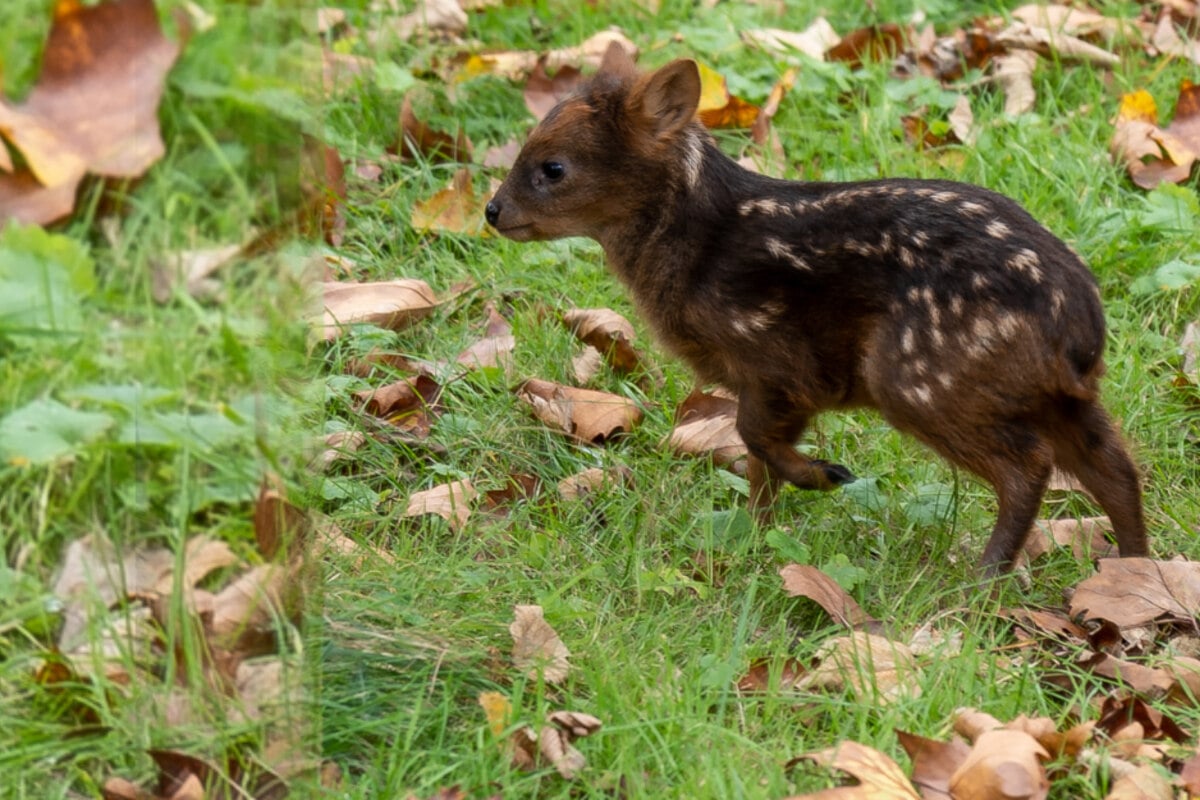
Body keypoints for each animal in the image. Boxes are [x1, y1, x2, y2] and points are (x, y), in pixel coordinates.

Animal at [484, 47, 1149, 575]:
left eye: (553, 167)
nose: (492, 211)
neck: (700, 248)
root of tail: (1080, 327)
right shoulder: (770, 378)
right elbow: (757, 461)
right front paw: (754, 539)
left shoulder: (777, 356)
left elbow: (755, 438)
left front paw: (827, 477)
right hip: (1048, 391)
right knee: (1113, 464)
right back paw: (1136, 572)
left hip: (921, 374)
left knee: (1030, 466)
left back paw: (982, 582)